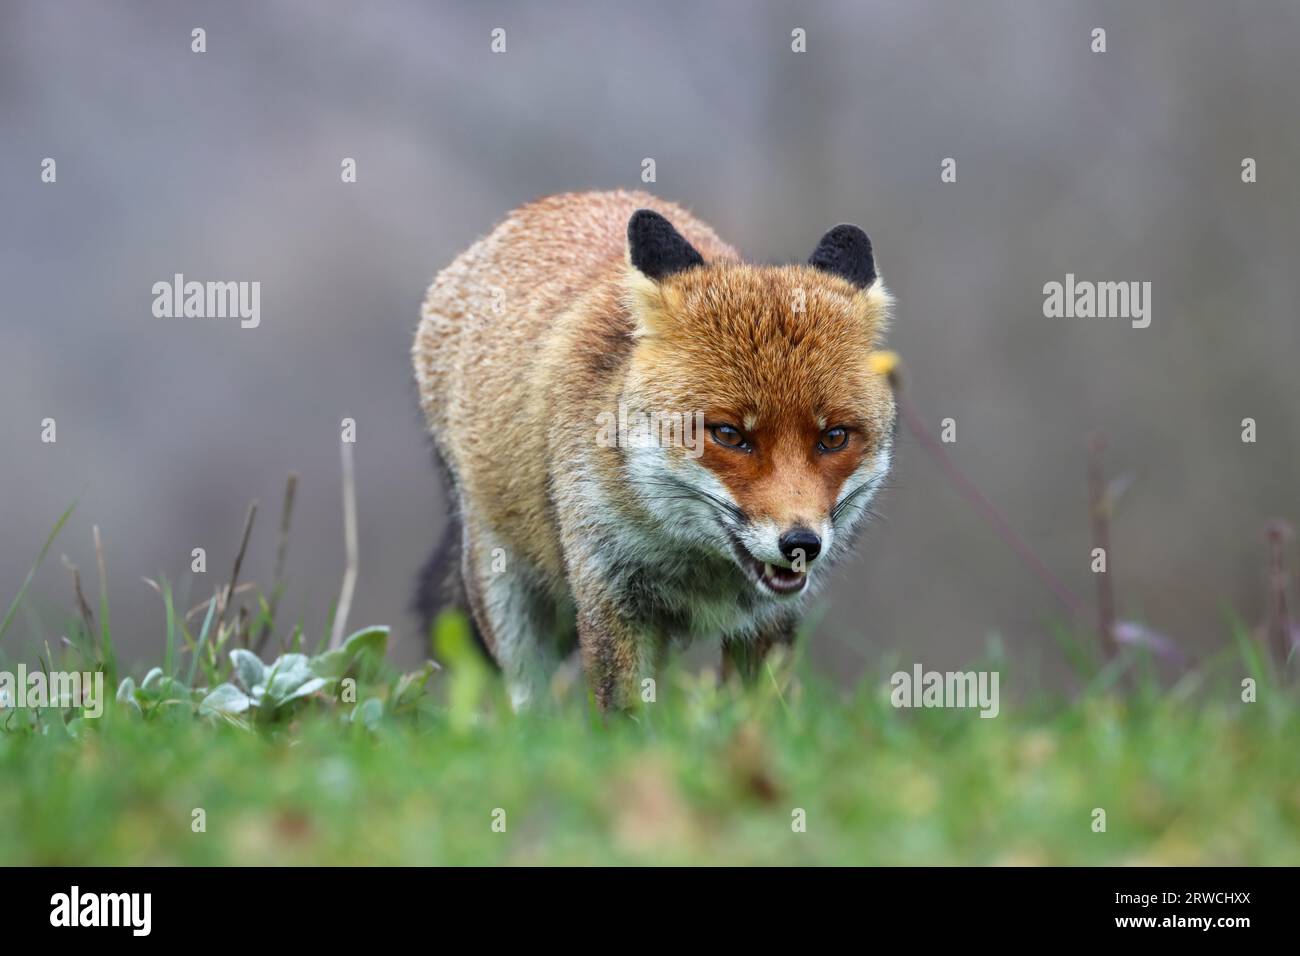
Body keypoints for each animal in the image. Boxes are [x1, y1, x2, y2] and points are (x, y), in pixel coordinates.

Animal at [413, 190, 896, 711]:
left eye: (834, 438)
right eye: (729, 435)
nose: (802, 544)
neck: (699, 569)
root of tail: (560, 200)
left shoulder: (769, 618)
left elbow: (758, 714)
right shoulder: (609, 594)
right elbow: (624, 714)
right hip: (503, 589)